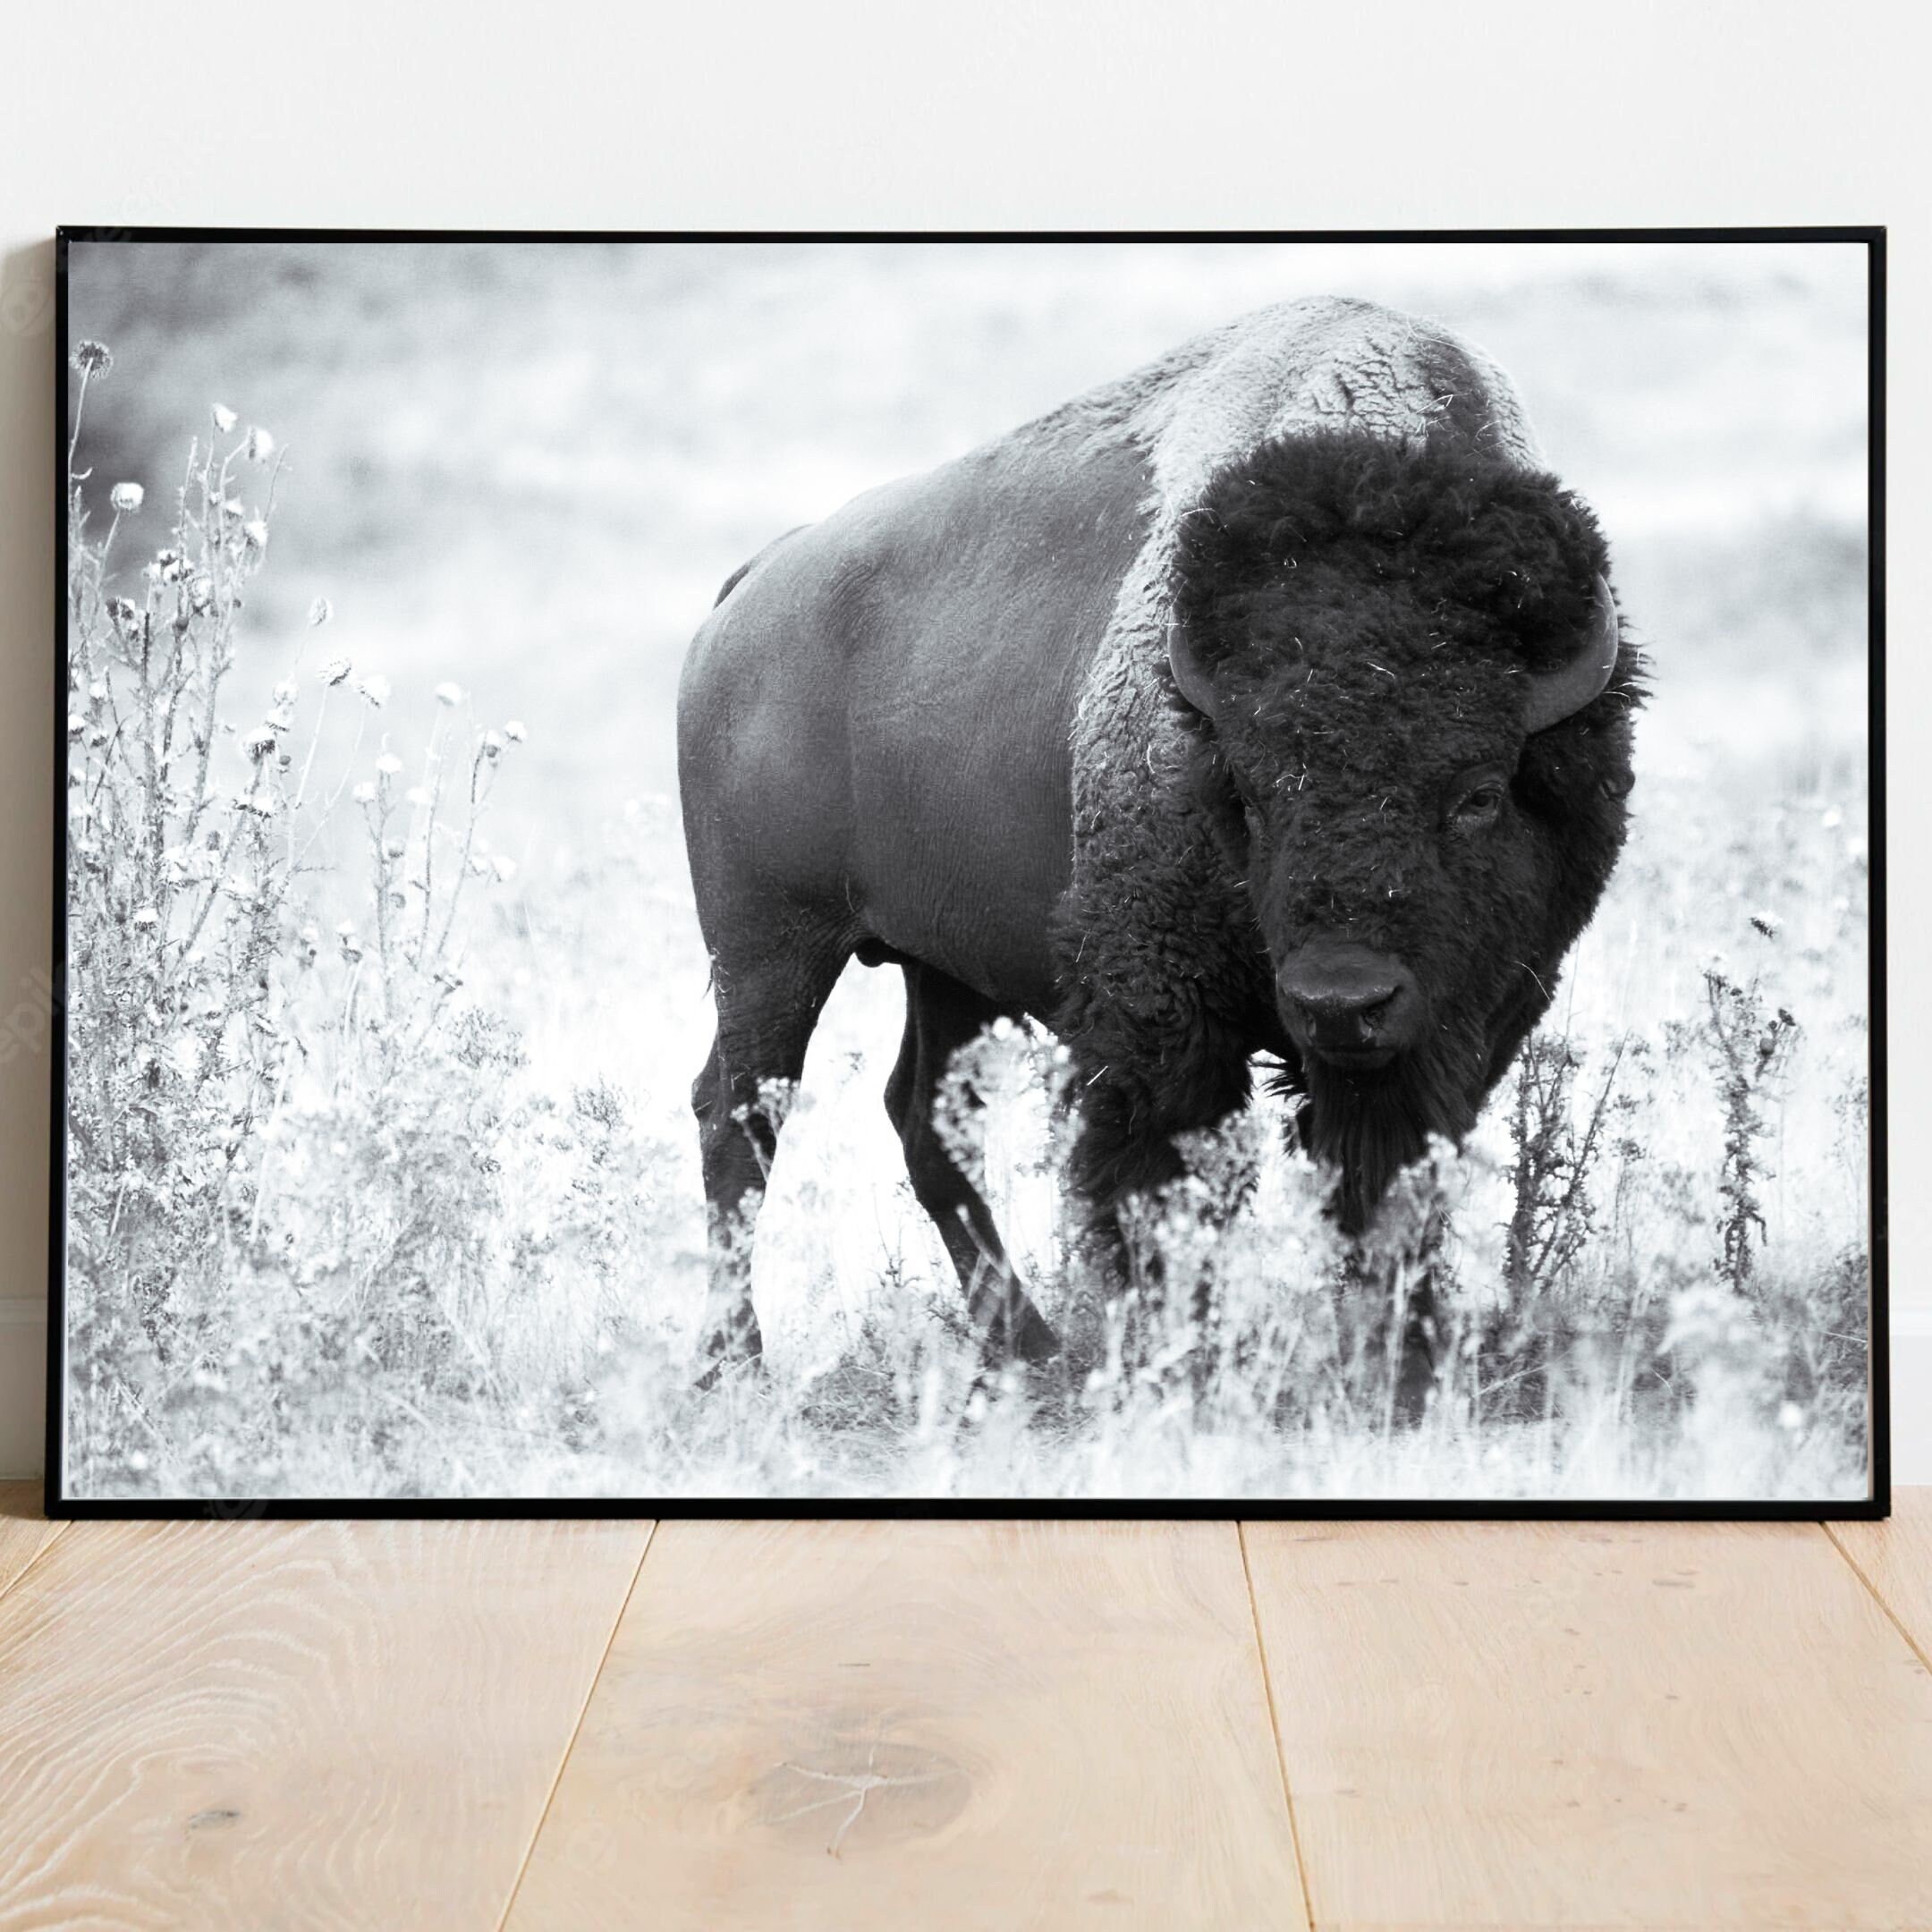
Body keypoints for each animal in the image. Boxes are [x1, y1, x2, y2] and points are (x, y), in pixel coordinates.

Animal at [678, 295, 1640, 1373]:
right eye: (1250, 795)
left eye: (1478, 794)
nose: (1342, 1001)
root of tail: (750, 590)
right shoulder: (1161, 1020)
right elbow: (1162, 1184)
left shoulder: (1465, 1021)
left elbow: (1388, 1180)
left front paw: (1403, 1349)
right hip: (770, 949)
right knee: (739, 1111)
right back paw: (737, 1361)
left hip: (943, 967)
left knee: (919, 1117)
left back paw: (1026, 1344)